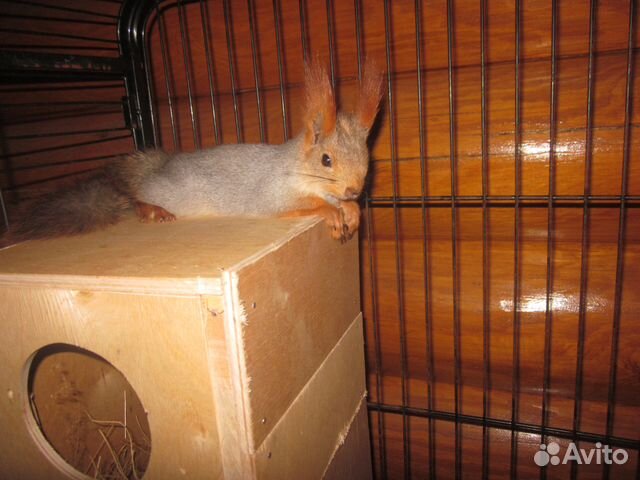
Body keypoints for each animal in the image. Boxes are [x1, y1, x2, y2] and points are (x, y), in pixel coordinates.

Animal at [4, 59, 384, 243]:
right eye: (326, 160)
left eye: (367, 156)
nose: (354, 189)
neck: (299, 170)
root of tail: (158, 166)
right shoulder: (271, 195)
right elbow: (302, 205)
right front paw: (332, 212)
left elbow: (346, 207)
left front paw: (353, 211)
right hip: (165, 192)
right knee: (135, 196)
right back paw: (151, 211)